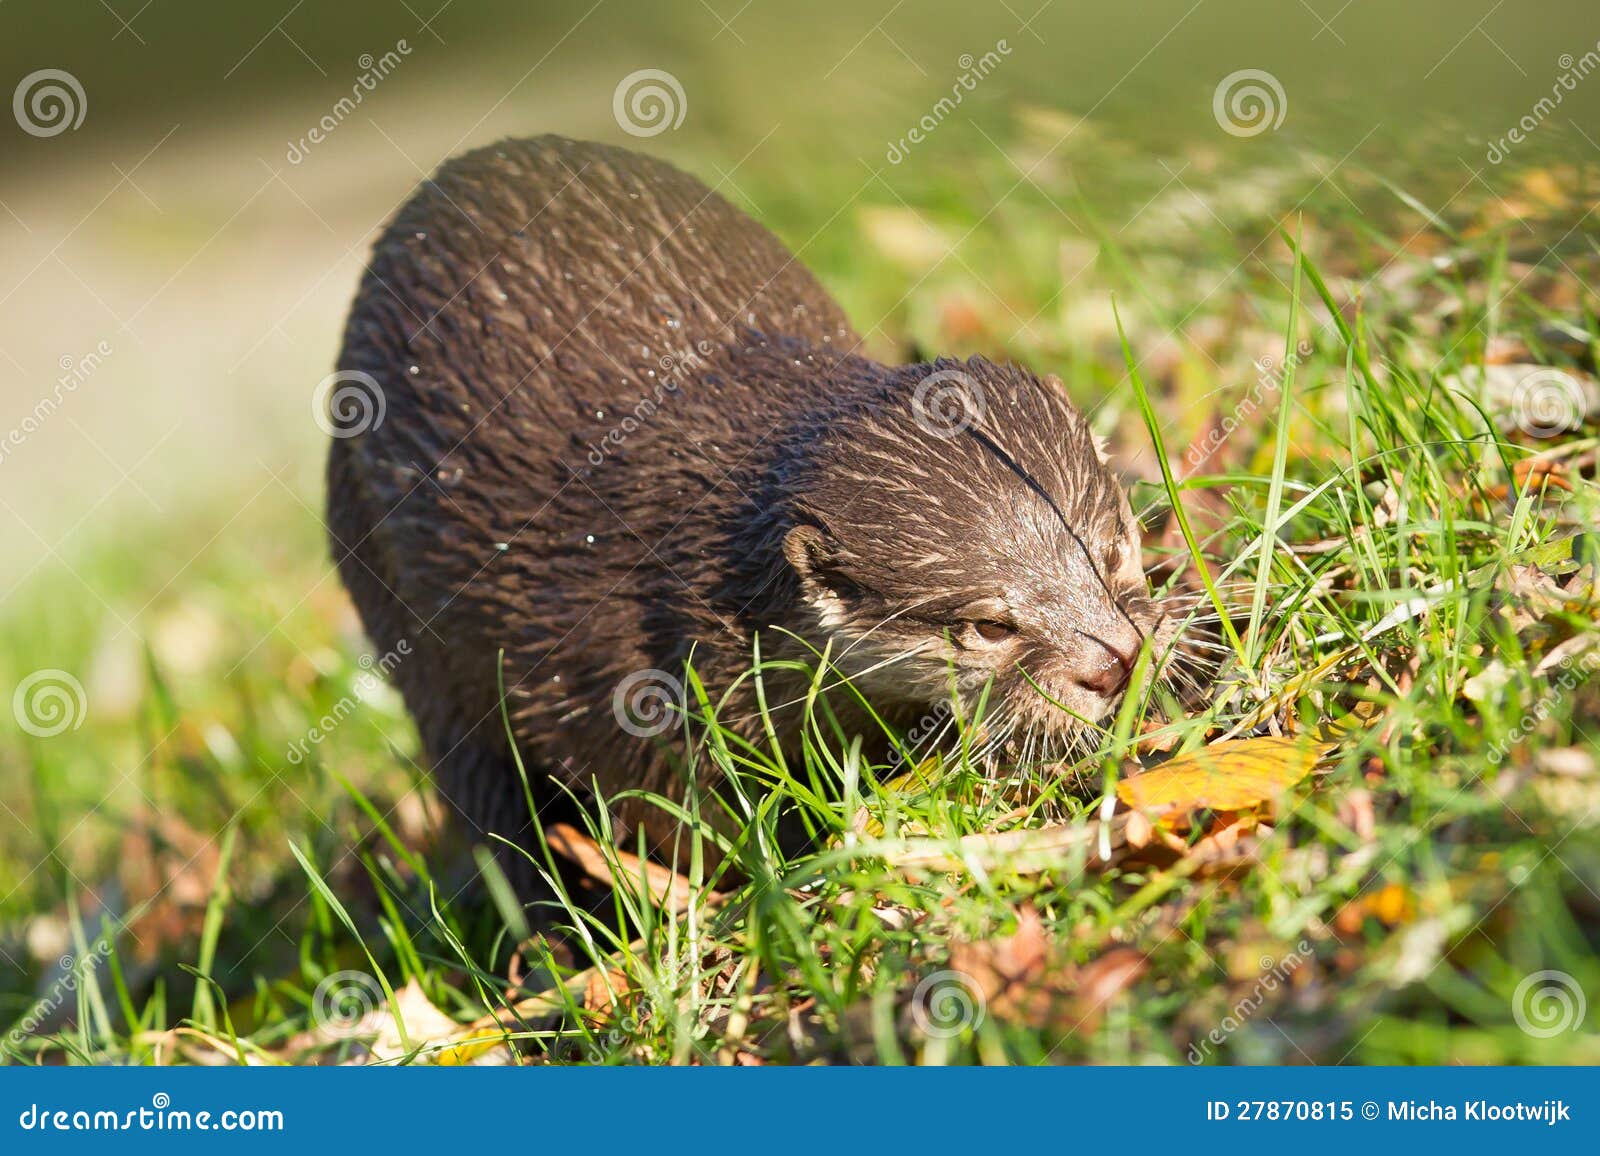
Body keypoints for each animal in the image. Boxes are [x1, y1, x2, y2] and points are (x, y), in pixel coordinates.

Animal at [327, 135, 1178, 869]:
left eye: (1111, 549)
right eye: (990, 626)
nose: (1117, 662)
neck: (693, 561)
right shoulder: (597, 671)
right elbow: (668, 813)